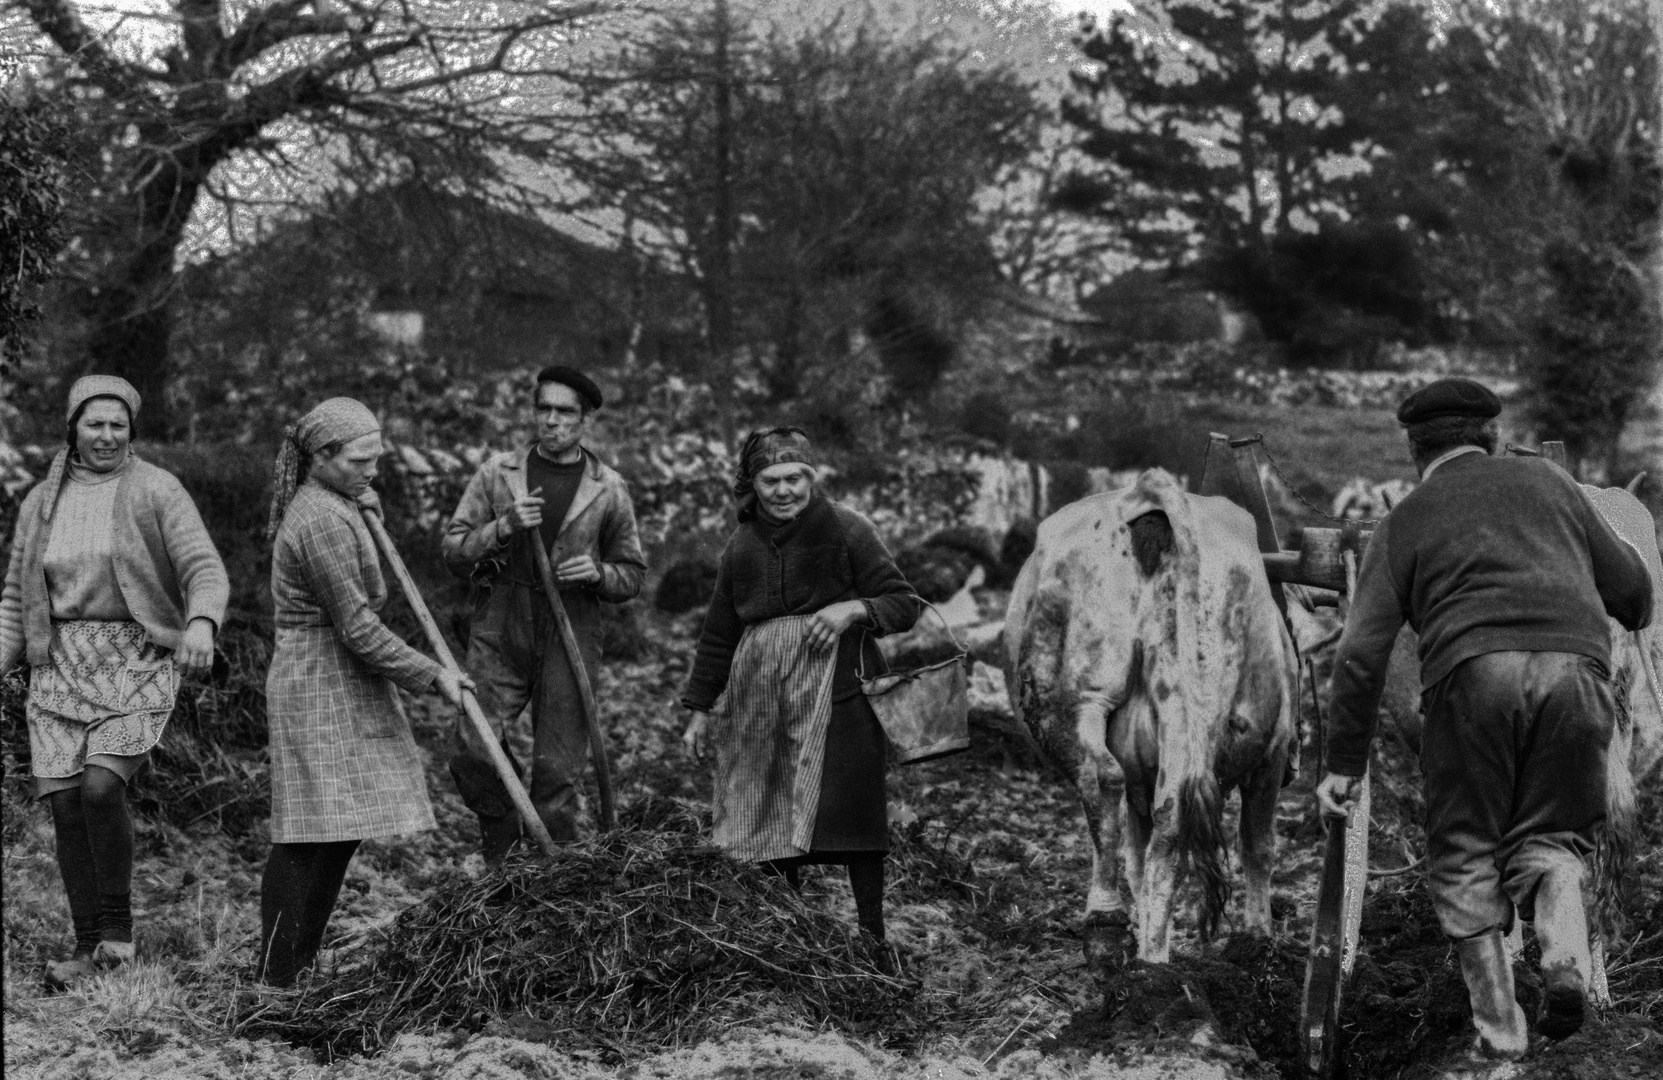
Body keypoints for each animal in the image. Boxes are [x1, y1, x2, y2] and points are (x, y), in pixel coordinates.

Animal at [997, 465, 1297, 971]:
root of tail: (1148, 496)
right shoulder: (1271, 752)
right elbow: (1257, 845)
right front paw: (1258, 937)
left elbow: (1141, 854)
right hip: (1177, 710)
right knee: (1160, 819)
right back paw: (1147, 954)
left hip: (1080, 698)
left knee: (1113, 788)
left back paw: (1122, 938)